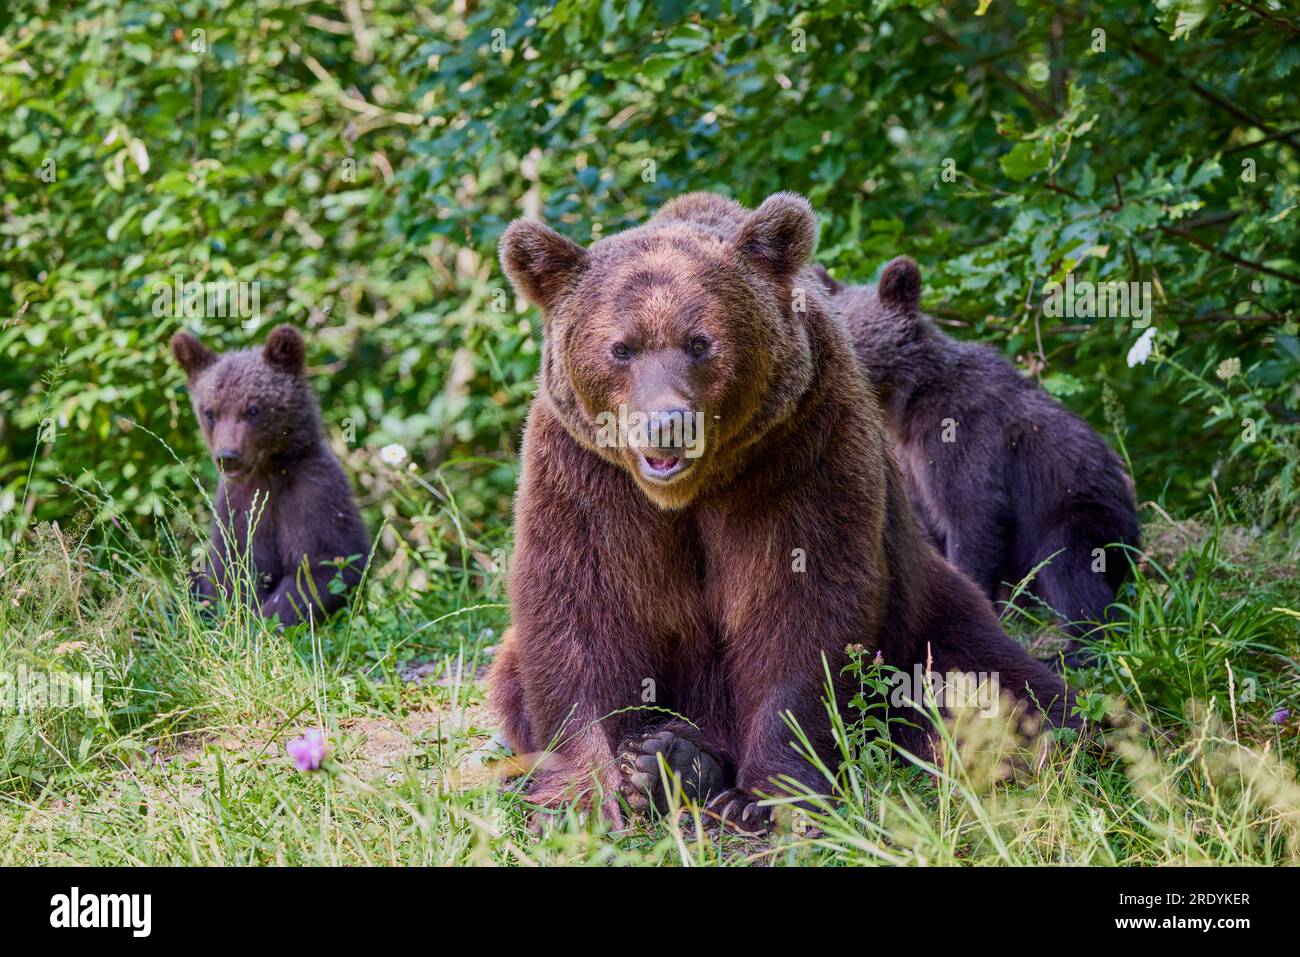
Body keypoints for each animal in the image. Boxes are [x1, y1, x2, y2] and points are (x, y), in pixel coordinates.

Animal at [170, 324, 369, 627]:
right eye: (210, 412)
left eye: (253, 409)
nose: (228, 456)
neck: (268, 472)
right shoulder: (235, 508)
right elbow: (233, 571)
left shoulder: (313, 495)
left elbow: (325, 566)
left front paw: (264, 620)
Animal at [488, 192, 1079, 831]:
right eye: (621, 347)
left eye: (699, 341)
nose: (666, 424)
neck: (693, 490)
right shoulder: (586, 476)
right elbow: (578, 608)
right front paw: (583, 796)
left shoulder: (798, 454)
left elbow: (800, 604)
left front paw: (764, 795)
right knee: (511, 678)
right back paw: (670, 759)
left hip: (927, 609)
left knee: (993, 684)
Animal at [816, 257, 1140, 667]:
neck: (902, 408)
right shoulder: (908, 468)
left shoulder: (962, 434)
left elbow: (972, 516)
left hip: (1083, 510)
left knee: (1070, 566)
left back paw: (1074, 649)